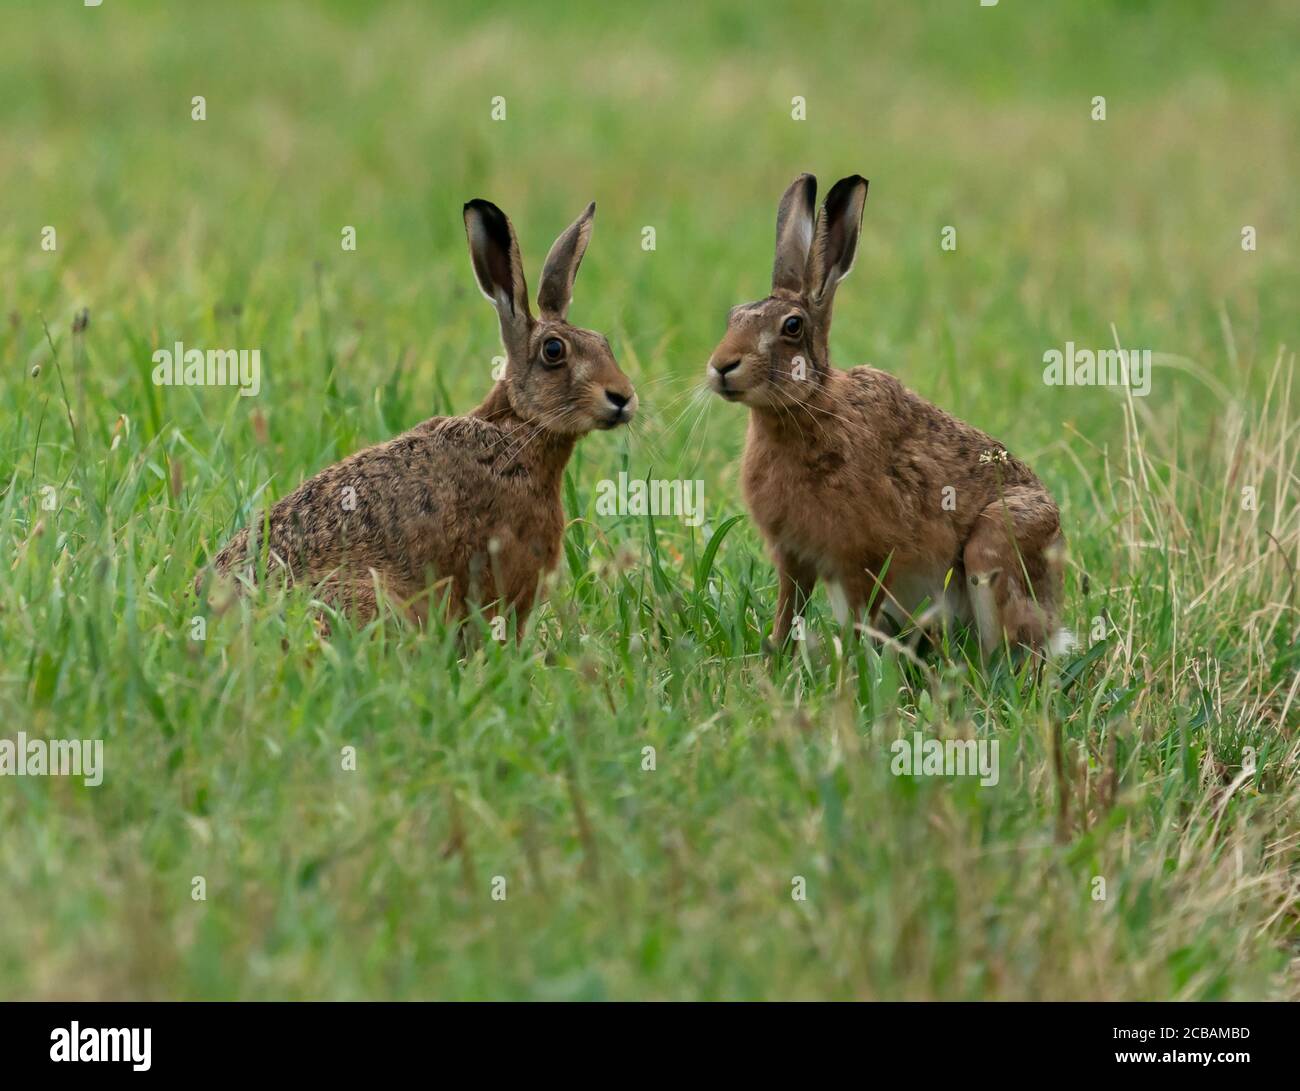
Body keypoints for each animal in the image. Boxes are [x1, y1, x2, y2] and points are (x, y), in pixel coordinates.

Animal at [705, 173, 1071, 658]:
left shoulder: (865, 557)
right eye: (733, 316)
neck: (810, 406)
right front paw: (776, 658)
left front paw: (848, 667)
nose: (721, 366)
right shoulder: (795, 558)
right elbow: (788, 612)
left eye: (792, 326)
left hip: (995, 543)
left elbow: (857, 622)